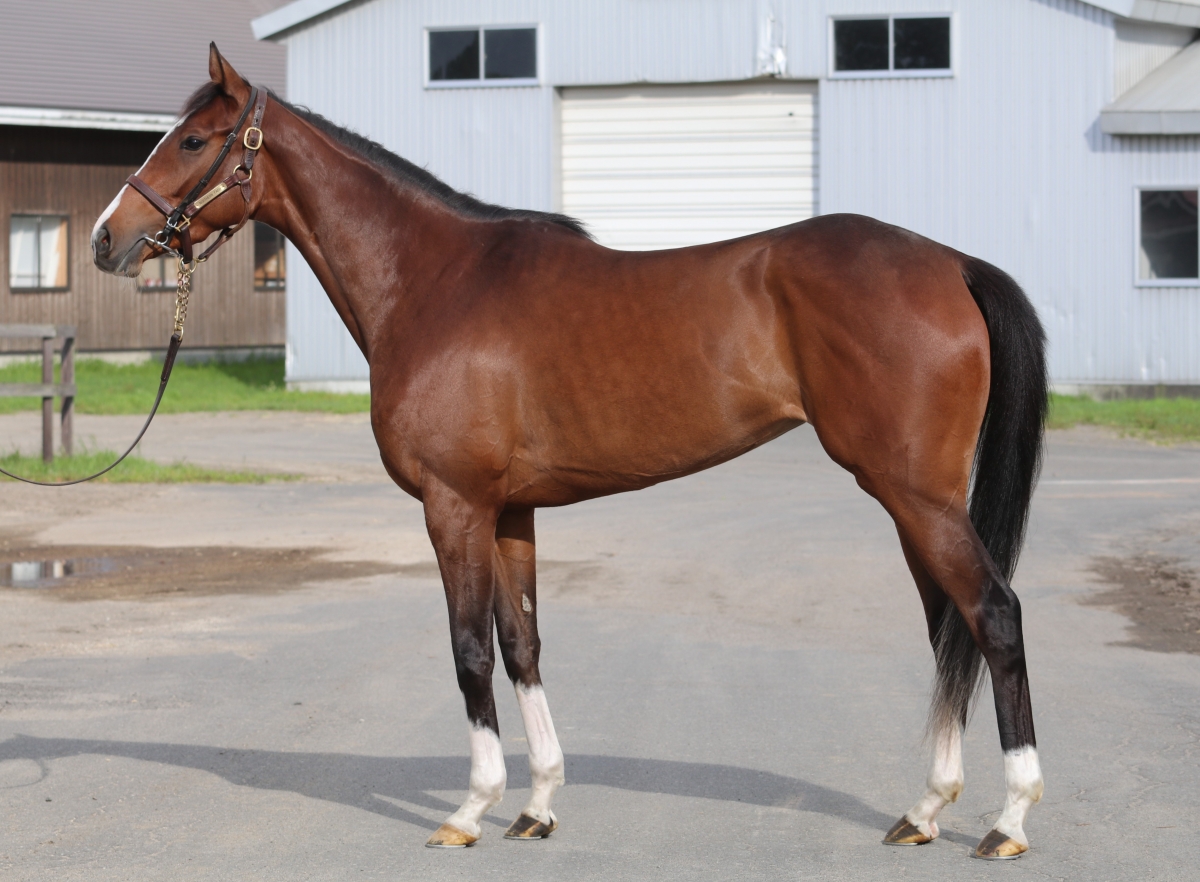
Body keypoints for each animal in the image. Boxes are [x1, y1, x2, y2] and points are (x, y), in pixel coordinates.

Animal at [91, 45, 1047, 859]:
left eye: (195, 140)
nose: (106, 237)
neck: (434, 283)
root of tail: (950, 263)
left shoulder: (454, 506)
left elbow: (469, 651)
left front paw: (470, 809)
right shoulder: (511, 510)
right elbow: (523, 646)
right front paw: (538, 804)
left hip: (914, 494)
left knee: (992, 615)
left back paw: (1008, 821)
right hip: (915, 500)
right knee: (948, 627)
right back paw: (924, 810)